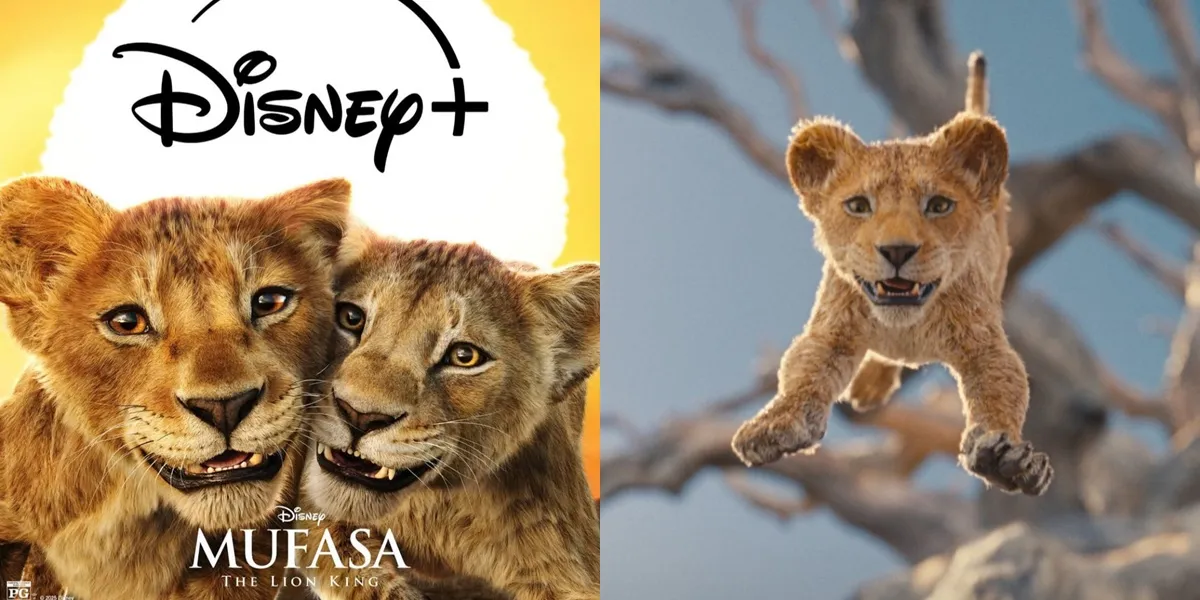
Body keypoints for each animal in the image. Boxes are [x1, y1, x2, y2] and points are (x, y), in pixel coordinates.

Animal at [731, 52, 1053, 496]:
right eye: (858, 205)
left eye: (938, 205)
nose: (897, 250)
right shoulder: (831, 331)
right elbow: (802, 373)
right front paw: (774, 425)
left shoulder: (984, 345)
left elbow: (1001, 390)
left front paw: (1006, 459)